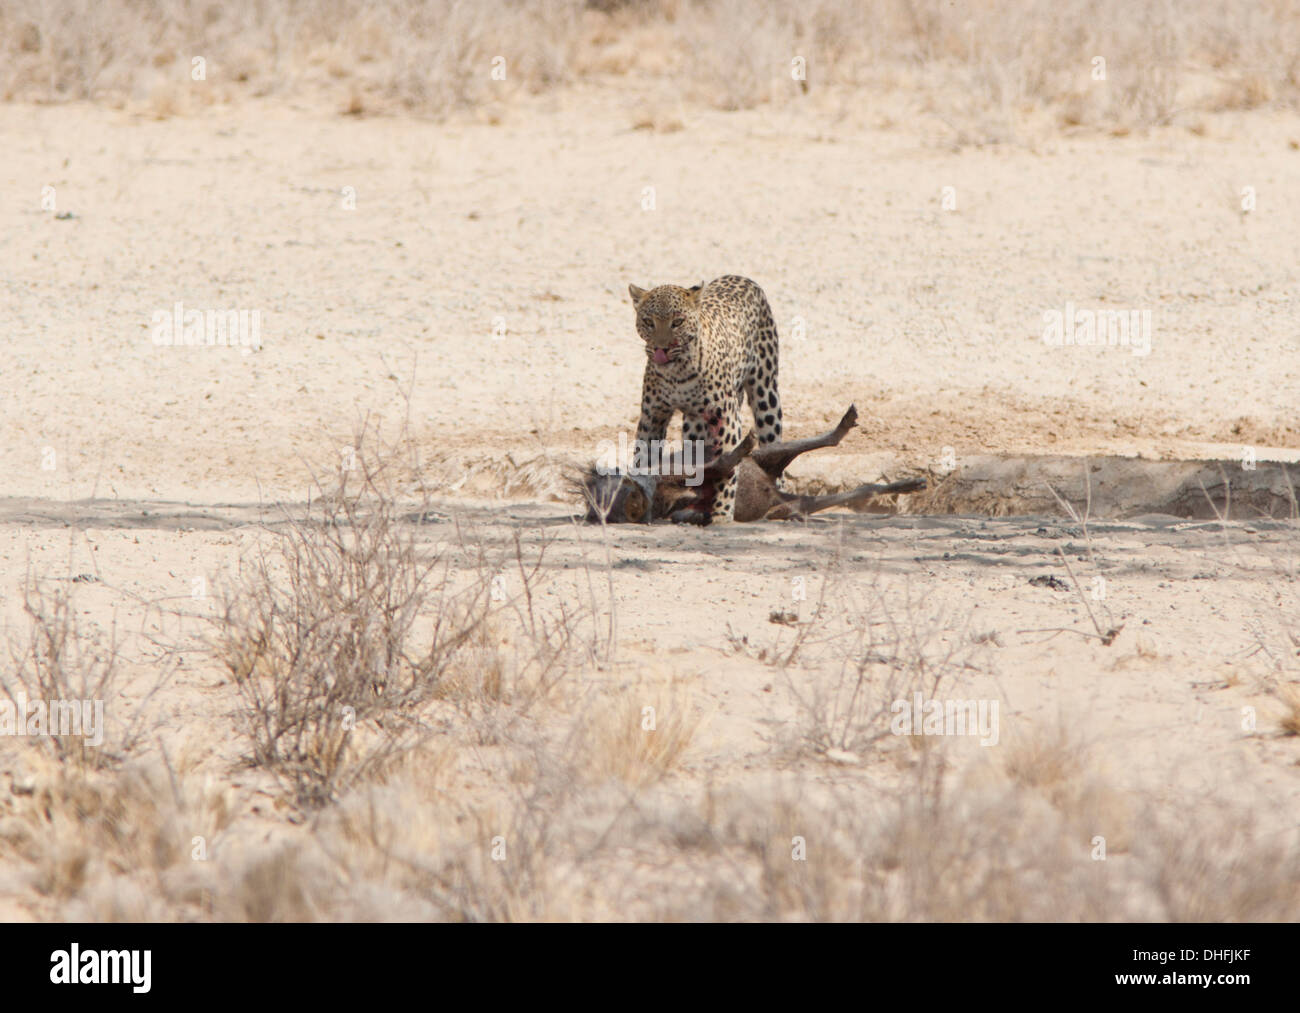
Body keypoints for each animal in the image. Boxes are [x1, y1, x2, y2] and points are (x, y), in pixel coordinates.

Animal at [626, 275, 784, 524]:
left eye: (678, 322)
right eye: (648, 322)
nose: (661, 349)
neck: (678, 373)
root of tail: (740, 277)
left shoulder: (728, 418)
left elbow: (728, 468)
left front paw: (722, 513)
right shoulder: (652, 417)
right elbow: (644, 459)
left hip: (766, 394)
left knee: (774, 444)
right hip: (694, 426)